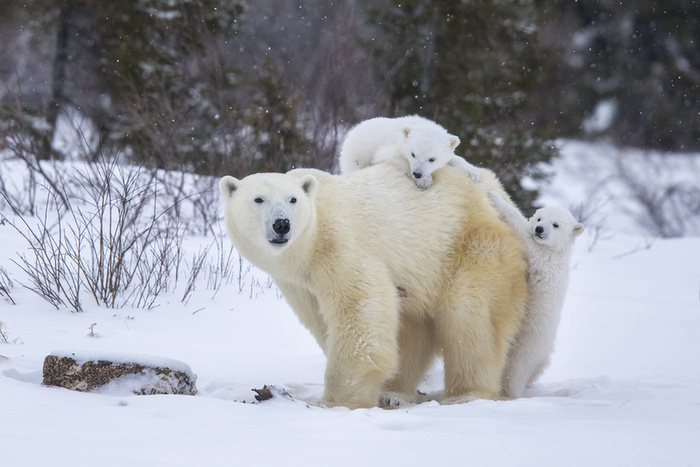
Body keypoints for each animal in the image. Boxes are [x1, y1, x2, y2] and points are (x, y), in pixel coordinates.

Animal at [219, 163, 528, 409]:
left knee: (471, 318)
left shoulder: (340, 244)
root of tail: (496, 189)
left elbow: (358, 308)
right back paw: (395, 393)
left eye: (292, 199)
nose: (282, 224)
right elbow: (323, 320)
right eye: (258, 199)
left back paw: (467, 394)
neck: (310, 243)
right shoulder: (299, 282)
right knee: (412, 328)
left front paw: (334, 401)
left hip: (473, 245)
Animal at [338, 115, 481, 189]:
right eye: (413, 154)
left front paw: (473, 173)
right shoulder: (392, 146)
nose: (417, 174)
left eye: (432, 159)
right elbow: (393, 157)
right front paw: (425, 181)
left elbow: (454, 158)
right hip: (354, 157)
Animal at [488, 191, 584, 399]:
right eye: (539, 218)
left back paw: (508, 392)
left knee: (515, 370)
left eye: (555, 224)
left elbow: (523, 231)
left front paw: (495, 196)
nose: (539, 229)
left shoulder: (543, 258)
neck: (557, 252)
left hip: (527, 346)